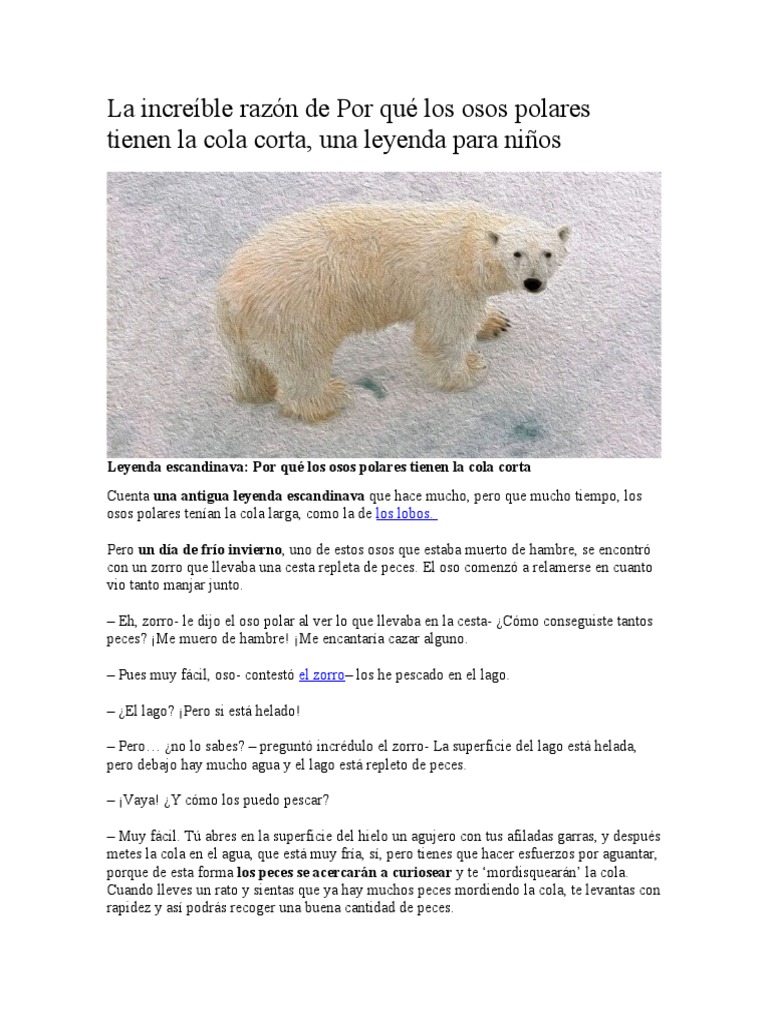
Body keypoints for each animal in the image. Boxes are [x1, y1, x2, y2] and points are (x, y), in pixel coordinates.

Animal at [217, 202, 570, 423]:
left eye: (548, 253)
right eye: (517, 254)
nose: (533, 282)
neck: (470, 245)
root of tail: (228, 295)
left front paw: (495, 322)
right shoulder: (446, 283)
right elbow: (443, 335)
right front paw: (471, 370)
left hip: (251, 328)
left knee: (248, 364)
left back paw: (256, 391)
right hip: (297, 311)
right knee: (304, 363)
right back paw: (329, 399)